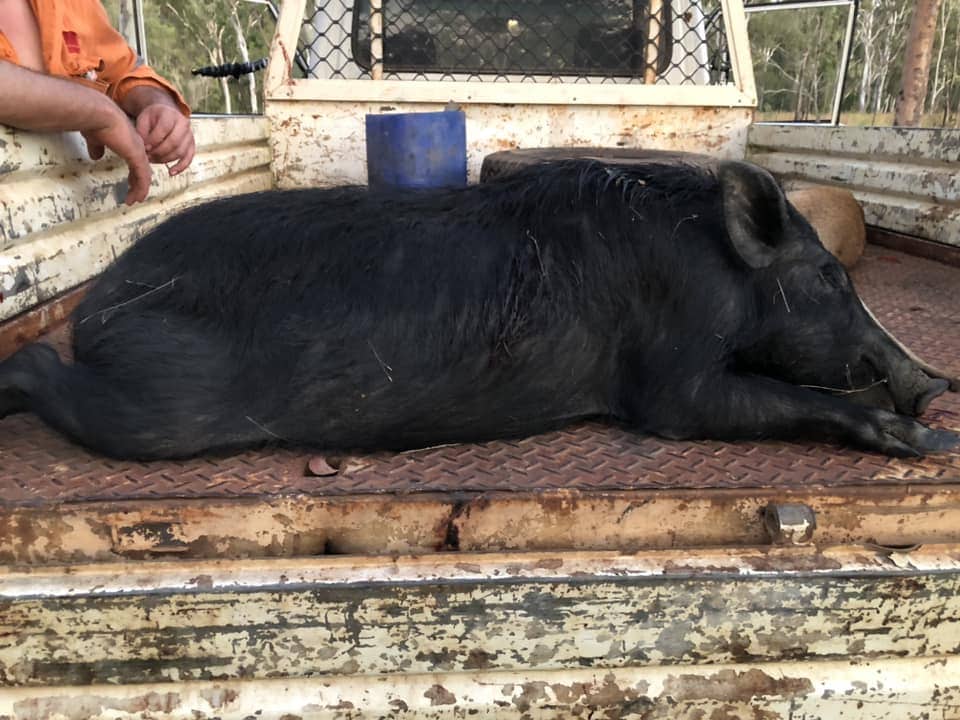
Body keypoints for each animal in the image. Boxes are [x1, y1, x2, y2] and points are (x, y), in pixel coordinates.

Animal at [0, 156, 956, 459]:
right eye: (828, 278)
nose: (934, 382)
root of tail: (98, 304)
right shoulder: (668, 382)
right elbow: (752, 400)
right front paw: (925, 446)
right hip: (153, 408)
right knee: (44, 371)